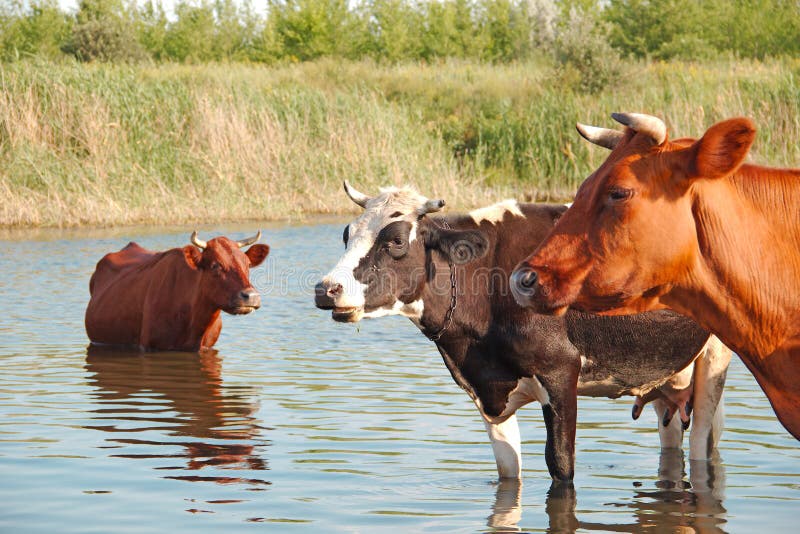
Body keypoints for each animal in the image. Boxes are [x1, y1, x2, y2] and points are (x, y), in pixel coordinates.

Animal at [314, 182, 731, 481]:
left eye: (397, 240)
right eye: (347, 234)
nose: (326, 288)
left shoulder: (561, 373)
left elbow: (561, 465)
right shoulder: (487, 390)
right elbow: (507, 471)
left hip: (717, 356)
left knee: (702, 441)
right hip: (668, 371)